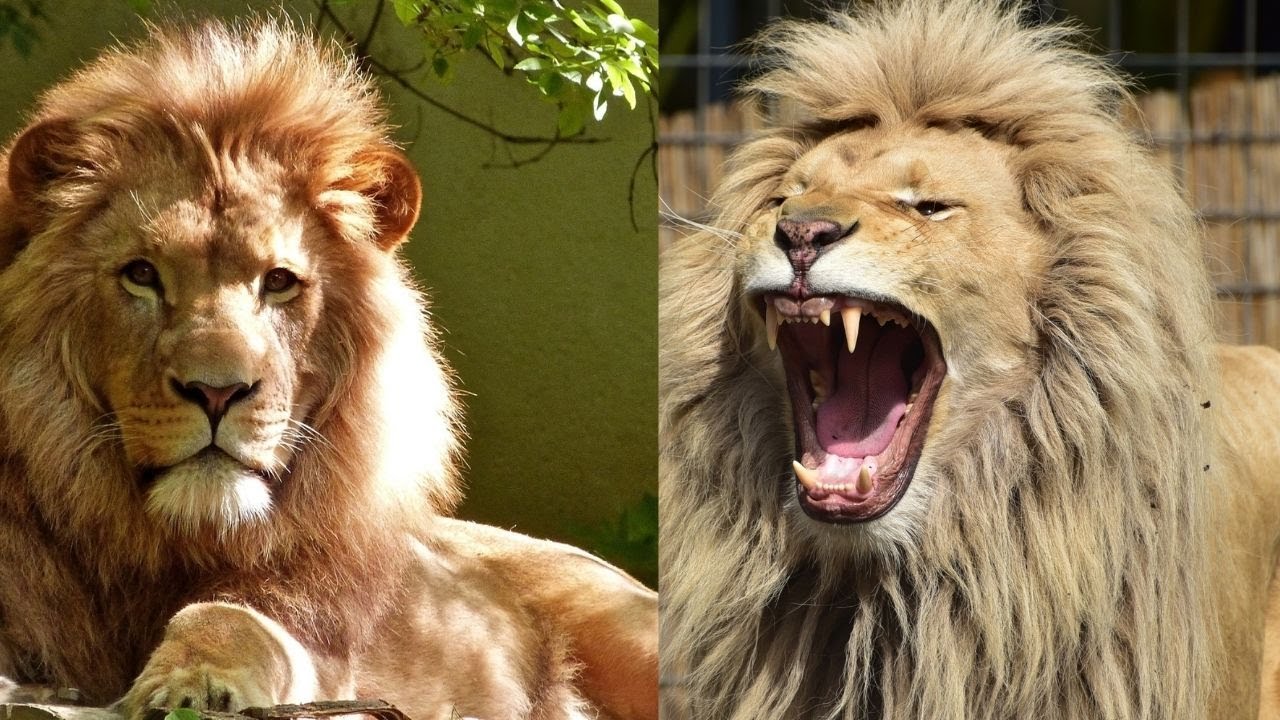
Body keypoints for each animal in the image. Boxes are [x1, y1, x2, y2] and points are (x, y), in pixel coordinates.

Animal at [0, 18, 656, 720]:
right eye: (142, 274)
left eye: (279, 282)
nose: (217, 391)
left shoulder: (315, 640)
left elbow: (233, 621)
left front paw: (195, 680)